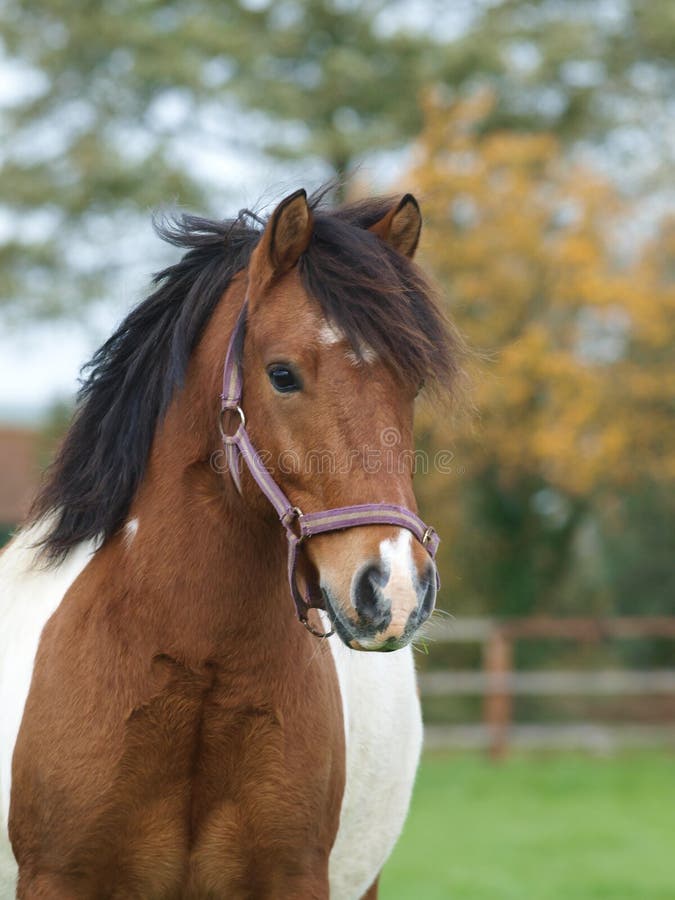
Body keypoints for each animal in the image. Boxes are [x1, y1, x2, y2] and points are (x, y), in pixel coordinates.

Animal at [0, 188, 462, 898]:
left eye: (409, 384)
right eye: (282, 374)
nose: (395, 590)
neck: (199, 666)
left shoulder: (297, 879)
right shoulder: (55, 880)